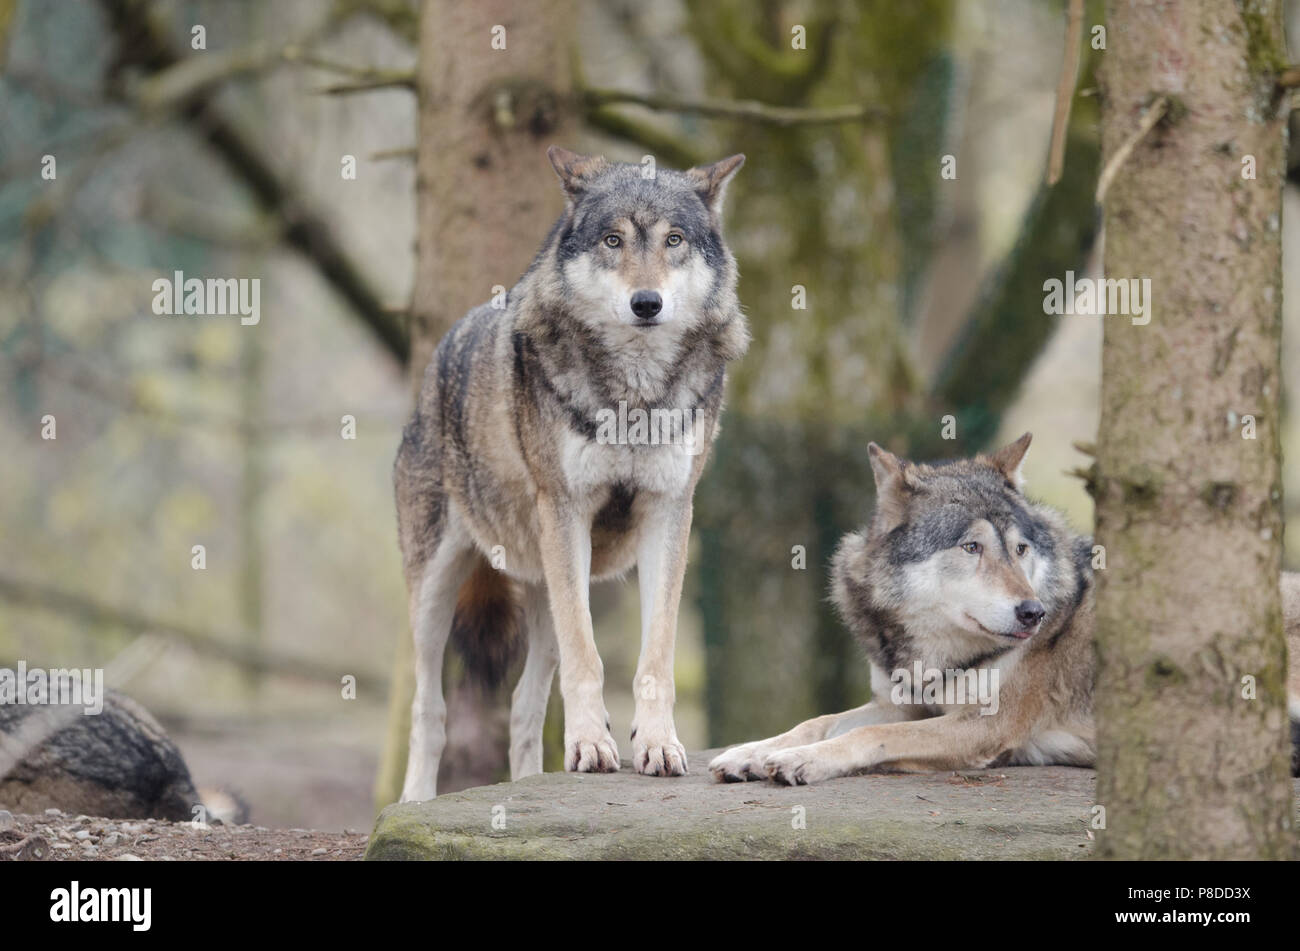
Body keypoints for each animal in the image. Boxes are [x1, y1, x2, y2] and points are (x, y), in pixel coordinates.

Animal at [394, 147, 748, 801]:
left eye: (674, 240)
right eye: (613, 240)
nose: (646, 303)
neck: (635, 397)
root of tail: (439, 357)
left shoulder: (670, 513)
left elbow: (655, 658)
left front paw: (657, 745)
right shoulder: (566, 509)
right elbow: (590, 661)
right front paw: (589, 746)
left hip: (549, 588)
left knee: (524, 711)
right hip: (436, 592)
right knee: (429, 713)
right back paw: (412, 804)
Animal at [709, 434, 1300, 785]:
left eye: (1019, 549)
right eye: (972, 547)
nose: (1032, 613)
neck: (936, 657)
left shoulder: (985, 726)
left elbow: (867, 736)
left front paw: (799, 762)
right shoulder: (906, 704)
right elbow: (820, 721)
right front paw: (753, 752)